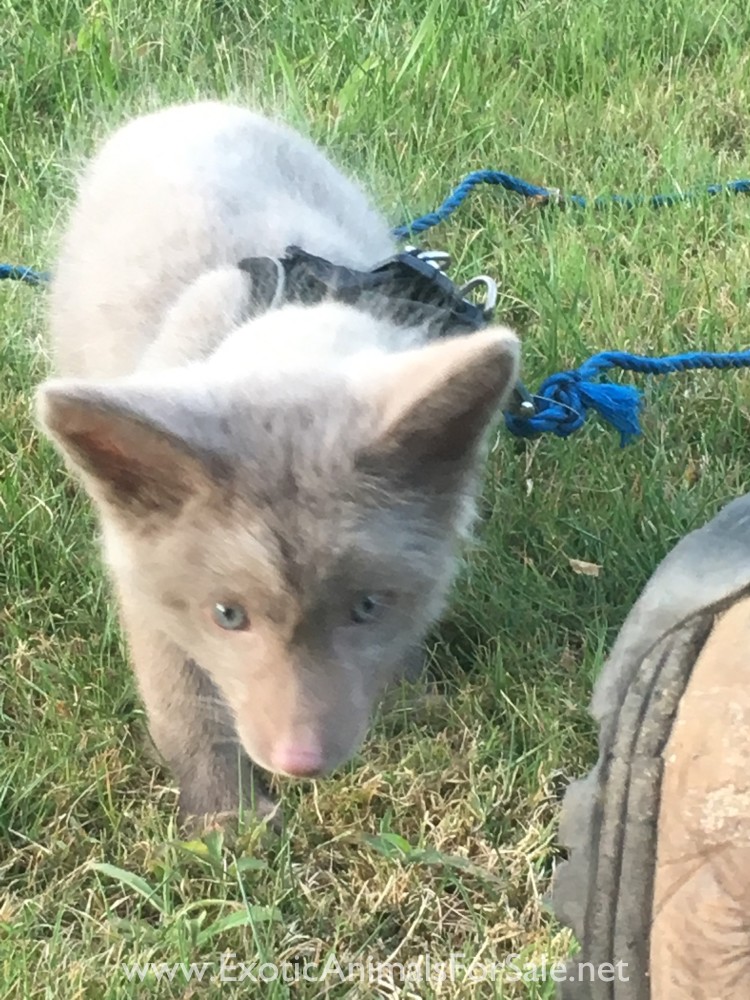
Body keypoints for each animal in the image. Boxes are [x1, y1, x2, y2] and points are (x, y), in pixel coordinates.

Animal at [36, 101, 520, 826]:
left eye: (368, 606)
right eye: (227, 615)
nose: (301, 763)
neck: (291, 334)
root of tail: (187, 107)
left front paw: (409, 700)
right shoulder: (143, 582)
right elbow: (180, 699)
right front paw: (225, 819)